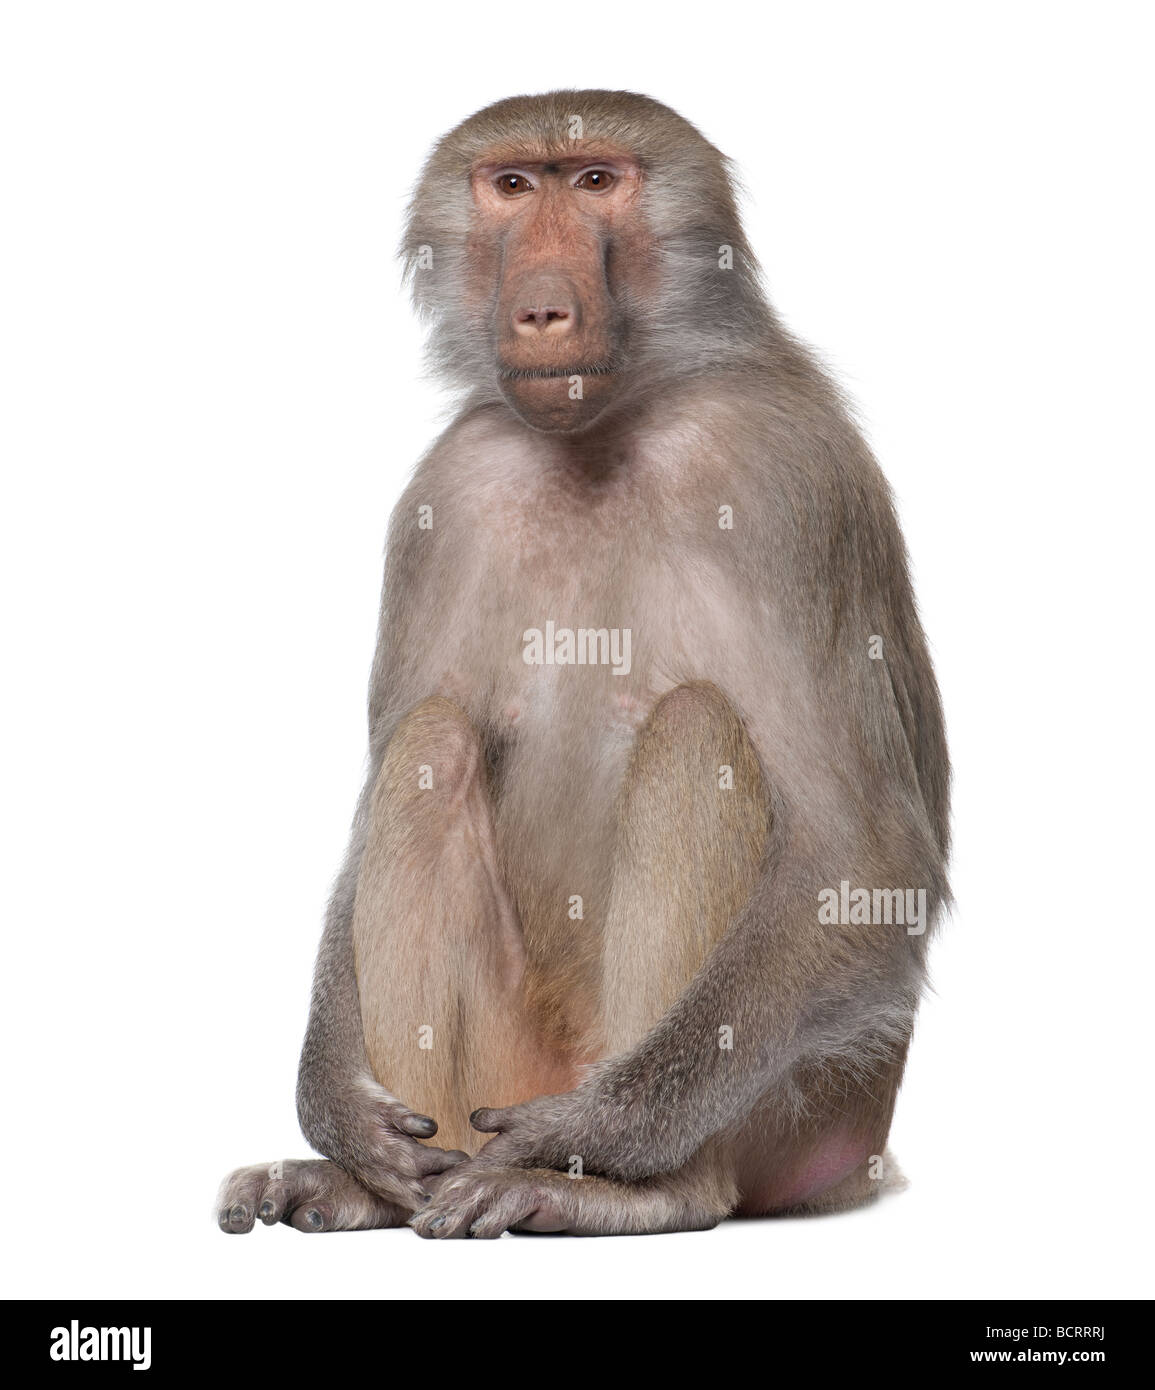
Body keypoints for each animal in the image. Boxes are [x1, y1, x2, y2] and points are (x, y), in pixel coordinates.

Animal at [217, 90, 949, 1239]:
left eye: (598, 181)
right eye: (514, 185)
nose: (543, 313)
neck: (610, 424)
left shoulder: (782, 475)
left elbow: (865, 859)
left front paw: (591, 1136)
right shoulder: (449, 491)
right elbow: (388, 778)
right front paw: (336, 1115)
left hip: (791, 1106)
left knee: (695, 731)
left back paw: (630, 1188)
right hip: (493, 1078)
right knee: (429, 746)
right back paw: (367, 1190)